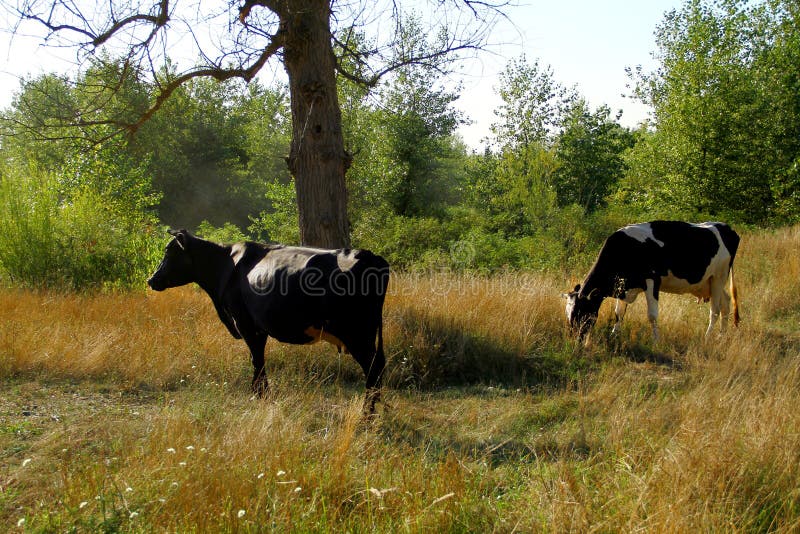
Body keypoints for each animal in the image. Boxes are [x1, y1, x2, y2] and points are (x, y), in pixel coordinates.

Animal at [147, 229, 390, 414]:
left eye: (169, 252)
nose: (151, 279)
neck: (226, 263)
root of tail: (371, 257)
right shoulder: (259, 326)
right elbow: (260, 359)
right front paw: (262, 393)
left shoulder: (245, 323)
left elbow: (256, 359)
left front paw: (259, 394)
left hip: (357, 335)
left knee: (373, 369)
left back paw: (366, 415)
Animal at [564, 221, 740, 341]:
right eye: (568, 313)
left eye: (582, 313)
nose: (576, 337)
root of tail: (725, 227)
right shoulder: (623, 287)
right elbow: (619, 313)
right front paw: (614, 334)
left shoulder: (652, 281)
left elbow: (652, 315)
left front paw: (656, 340)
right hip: (708, 283)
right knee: (726, 303)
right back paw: (721, 336)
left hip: (718, 277)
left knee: (715, 310)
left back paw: (708, 337)